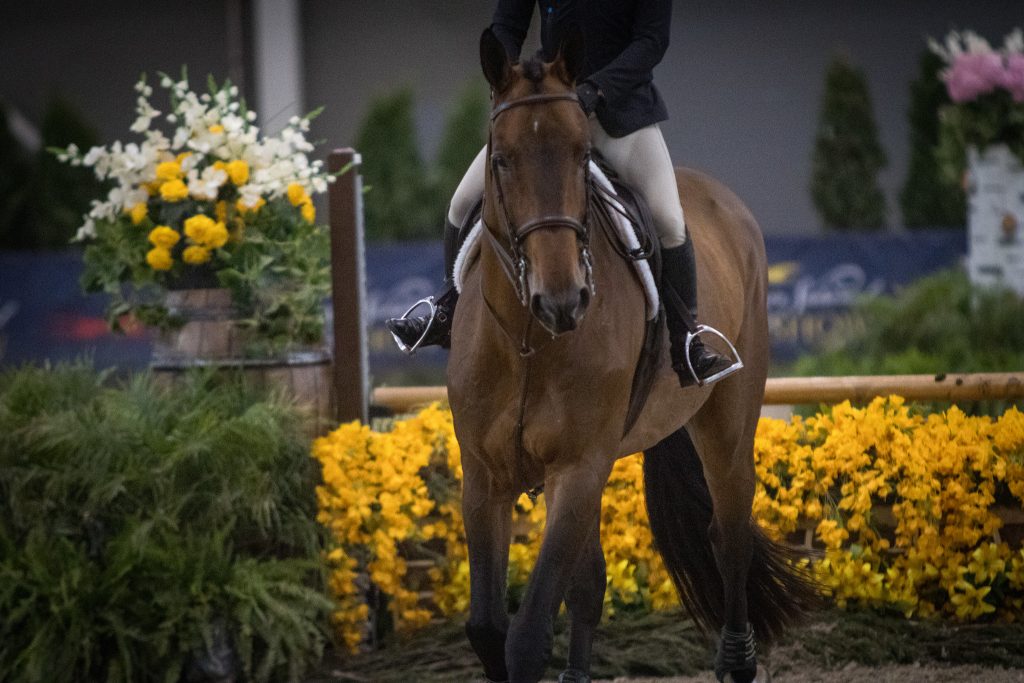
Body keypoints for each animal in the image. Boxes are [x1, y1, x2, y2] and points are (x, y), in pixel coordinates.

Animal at [446, 28, 819, 683]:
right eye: (501, 160)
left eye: (579, 156)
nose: (562, 300)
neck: (527, 341)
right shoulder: (485, 478)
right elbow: (490, 628)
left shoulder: (578, 467)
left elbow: (527, 634)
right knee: (591, 583)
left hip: (726, 422)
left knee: (729, 534)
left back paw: (737, 659)